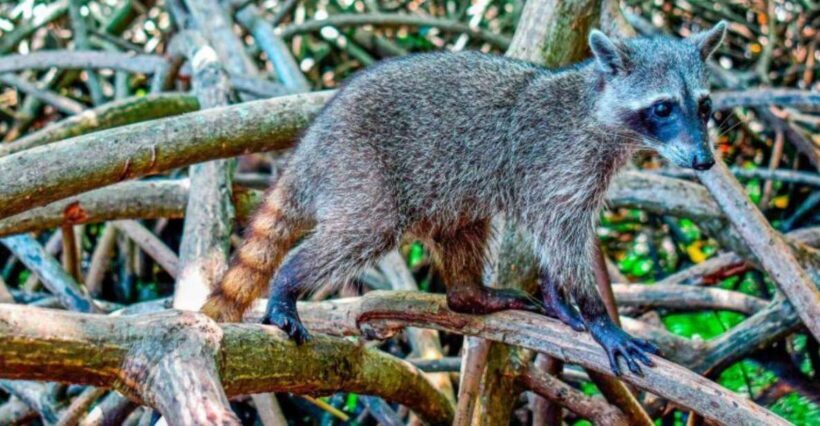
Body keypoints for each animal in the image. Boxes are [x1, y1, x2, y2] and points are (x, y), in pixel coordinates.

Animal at [202, 22, 727, 375]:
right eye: (663, 108)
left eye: (704, 106)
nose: (704, 161)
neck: (596, 107)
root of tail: (312, 143)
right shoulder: (559, 162)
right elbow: (560, 235)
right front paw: (596, 313)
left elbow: (554, 239)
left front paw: (556, 294)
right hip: (362, 168)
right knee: (362, 232)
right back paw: (288, 281)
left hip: (441, 186)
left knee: (463, 226)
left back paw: (469, 293)